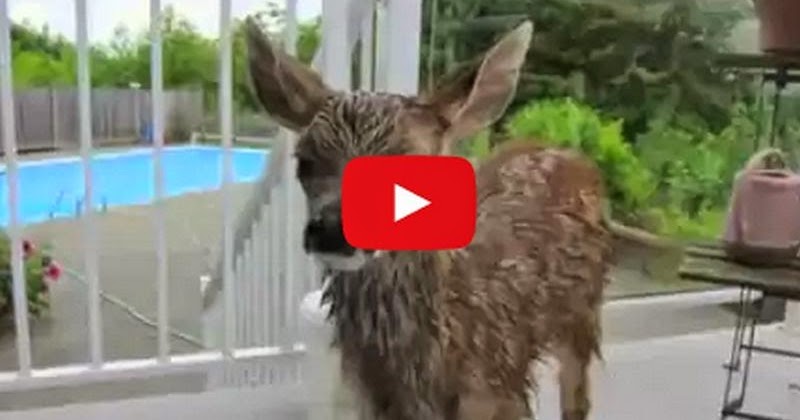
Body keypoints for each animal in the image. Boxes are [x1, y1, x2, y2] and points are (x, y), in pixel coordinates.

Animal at [245, 18, 612, 420]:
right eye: (306, 161)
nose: (330, 231)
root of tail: (568, 152)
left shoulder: (498, 385)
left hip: (583, 311)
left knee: (577, 395)